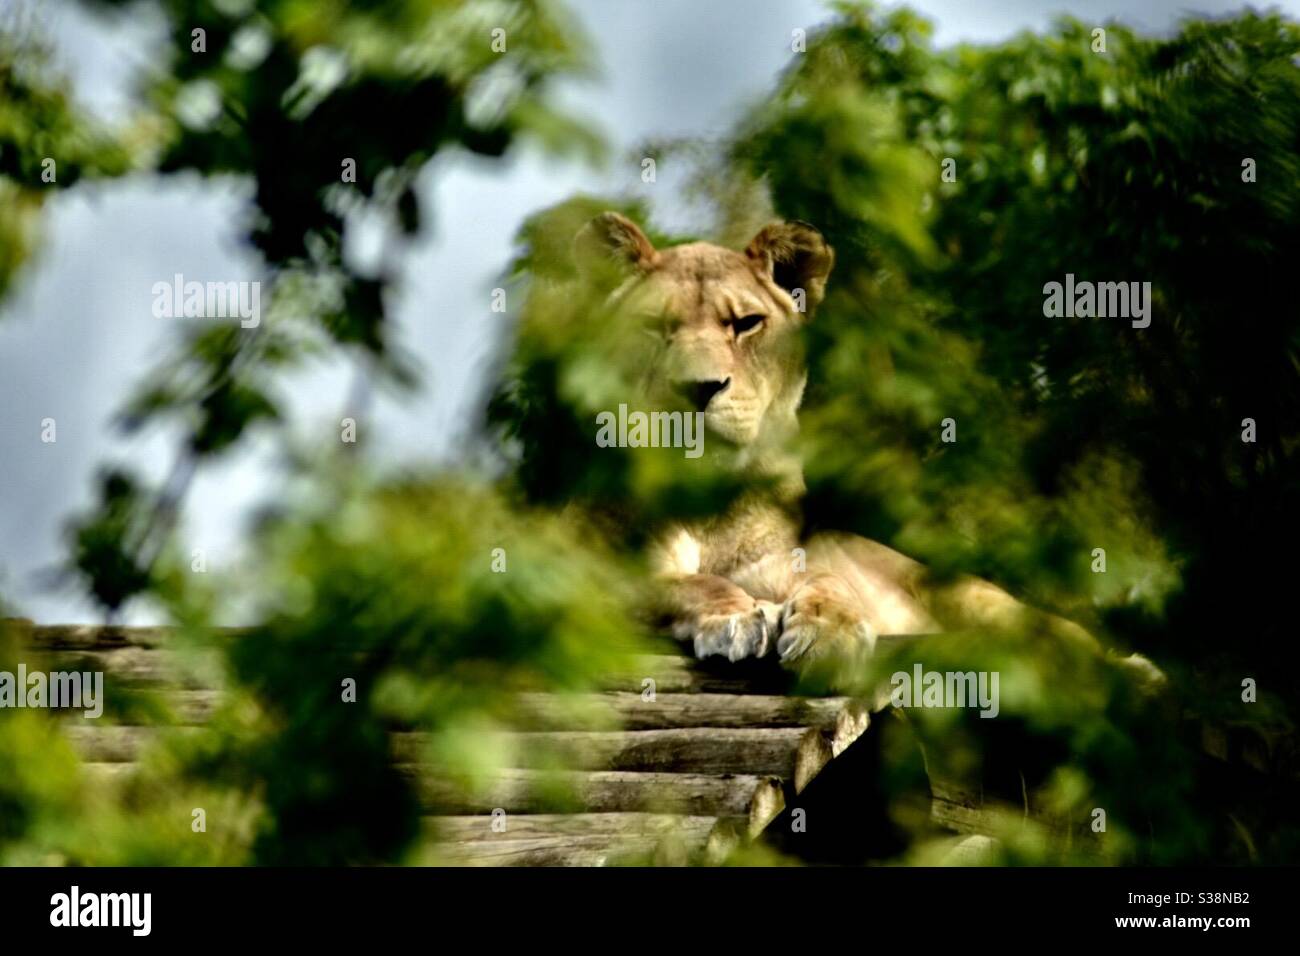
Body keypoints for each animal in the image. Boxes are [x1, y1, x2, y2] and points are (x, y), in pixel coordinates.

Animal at [572, 211, 1162, 686]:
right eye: (653, 327)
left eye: (746, 324)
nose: (698, 389)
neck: (708, 510)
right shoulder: (580, 577)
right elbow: (682, 584)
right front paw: (733, 617)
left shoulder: (794, 560)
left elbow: (828, 581)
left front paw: (828, 630)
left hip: (981, 601)